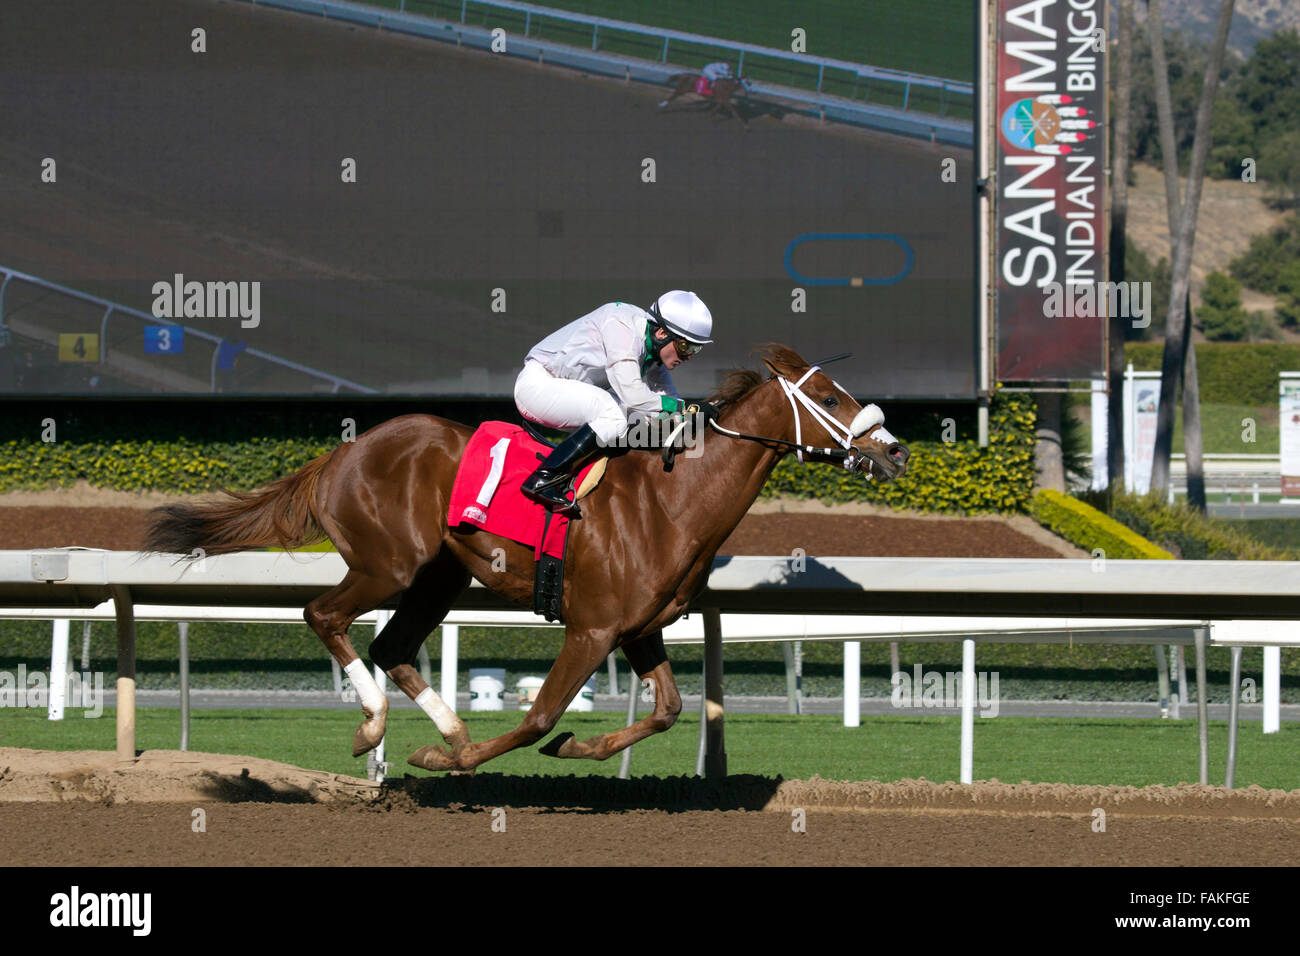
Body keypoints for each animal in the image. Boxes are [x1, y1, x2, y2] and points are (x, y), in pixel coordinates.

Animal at [144, 345, 910, 773]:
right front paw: (457, 759)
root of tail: (343, 453)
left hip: (440, 574)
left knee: (391, 644)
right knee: (323, 615)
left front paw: (575, 749)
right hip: (387, 564)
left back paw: (447, 727)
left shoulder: (638, 629)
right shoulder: (592, 629)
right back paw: (378, 725)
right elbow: (538, 717)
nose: (896, 449)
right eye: (827, 397)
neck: (671, 502)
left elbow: (668, 710)